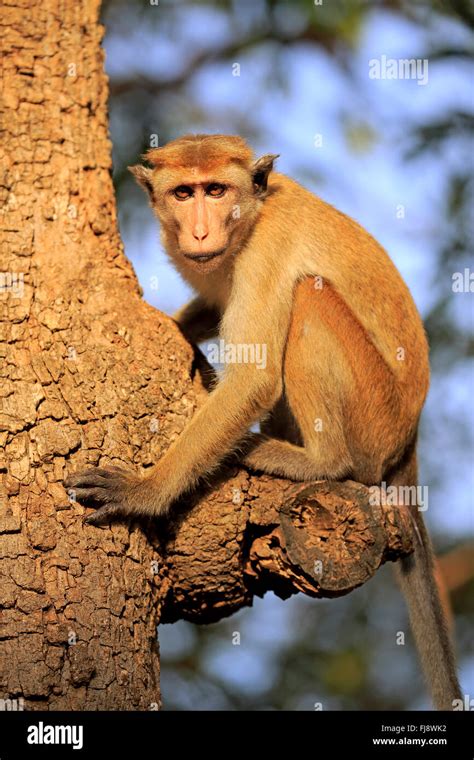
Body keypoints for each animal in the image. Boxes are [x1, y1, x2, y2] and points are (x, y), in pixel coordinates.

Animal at [65, 133, 461, 710]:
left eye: (216, 190)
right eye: (184, 193)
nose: (200, 230)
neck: (247, 220)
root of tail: (408, 439)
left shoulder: (265, 249)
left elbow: (254, 375)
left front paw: (145, 490)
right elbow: (213, 308)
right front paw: (175, 326)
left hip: (374, 416)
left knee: (309, 296)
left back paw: (310, 460)